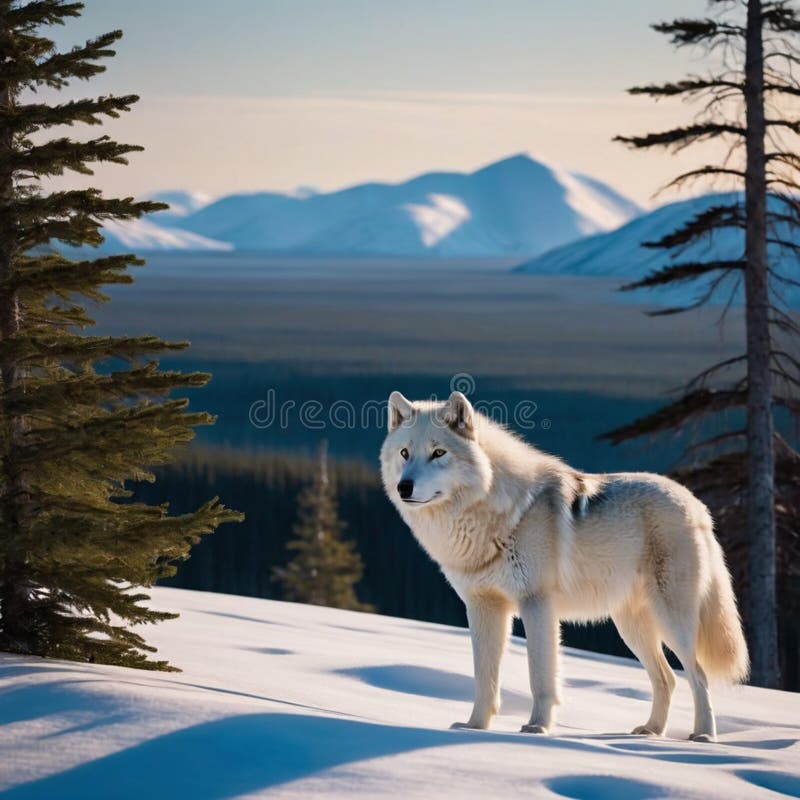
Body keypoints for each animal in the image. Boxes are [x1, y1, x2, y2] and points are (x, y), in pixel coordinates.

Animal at [380, 390, 749, 742]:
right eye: (405, 453)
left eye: (439, 453)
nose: (404, 487)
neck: (497, 512)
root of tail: (695, 504)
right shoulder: (483, 607)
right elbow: (484, 678)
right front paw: (473, 727)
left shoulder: (537, 605)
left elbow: (540, 676)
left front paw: (537, 728)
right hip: (631, 627)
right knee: (667, 679)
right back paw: (651, 731)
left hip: (673, 622)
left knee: (698, 676)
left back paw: (703, 735)